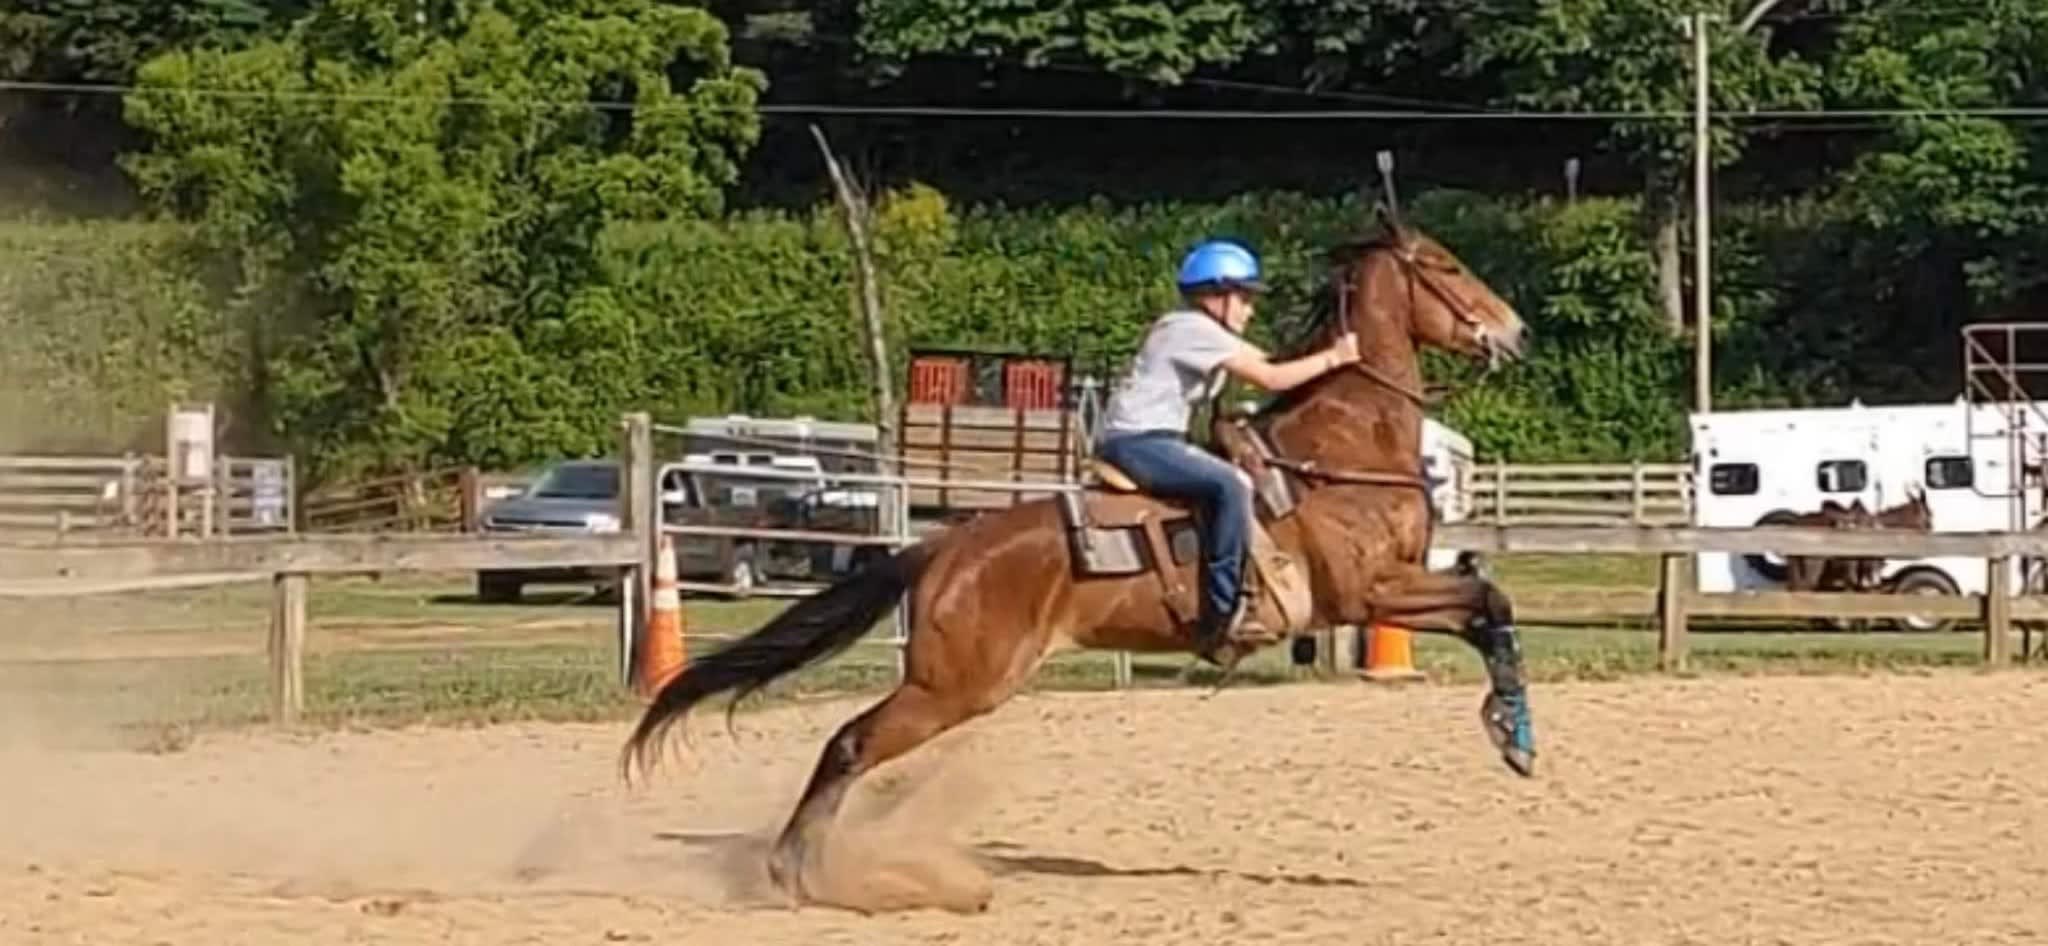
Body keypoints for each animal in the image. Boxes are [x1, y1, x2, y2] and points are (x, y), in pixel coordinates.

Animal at [619, 207, 1533, 903]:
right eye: (1446, 266)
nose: (1516, 331)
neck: (1341, 447)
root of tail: (943, 548)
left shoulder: (1393, 587)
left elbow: (1487, 607)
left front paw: (1513, 733)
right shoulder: (1371, 590)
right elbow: (1490, 601)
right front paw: (1515, 736)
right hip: (954, 686)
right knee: (848, 742)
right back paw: (801, 875)